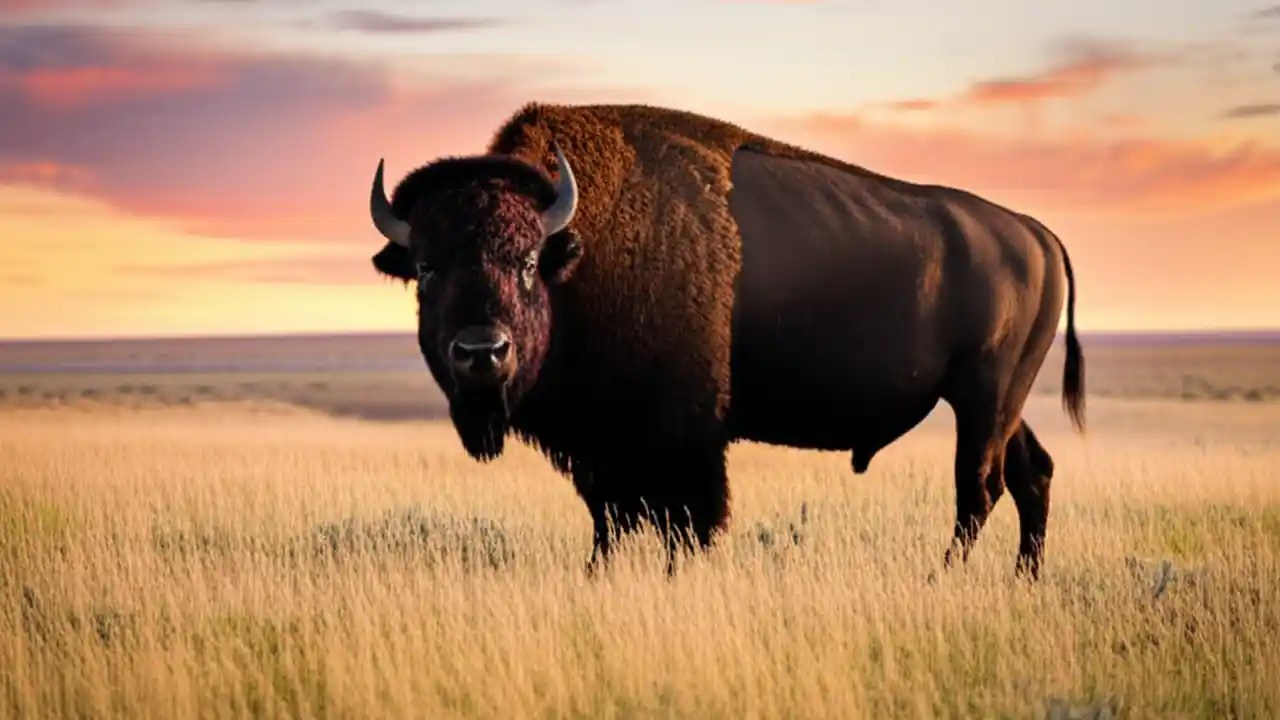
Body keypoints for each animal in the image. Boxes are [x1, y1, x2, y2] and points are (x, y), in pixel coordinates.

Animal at [367, 103, 1085, 579]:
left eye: (525, 261)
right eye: (425, 268)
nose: (481, 354)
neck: (580, 247)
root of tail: (1036, 233)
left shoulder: (683, 439)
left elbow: (688, 521)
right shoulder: (603, 445)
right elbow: (610, 520)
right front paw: (599, 578)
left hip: (984, 398)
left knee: (979, 488)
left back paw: (943, 578)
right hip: (997, 402)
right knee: (1032, 473)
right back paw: (1023, 580)